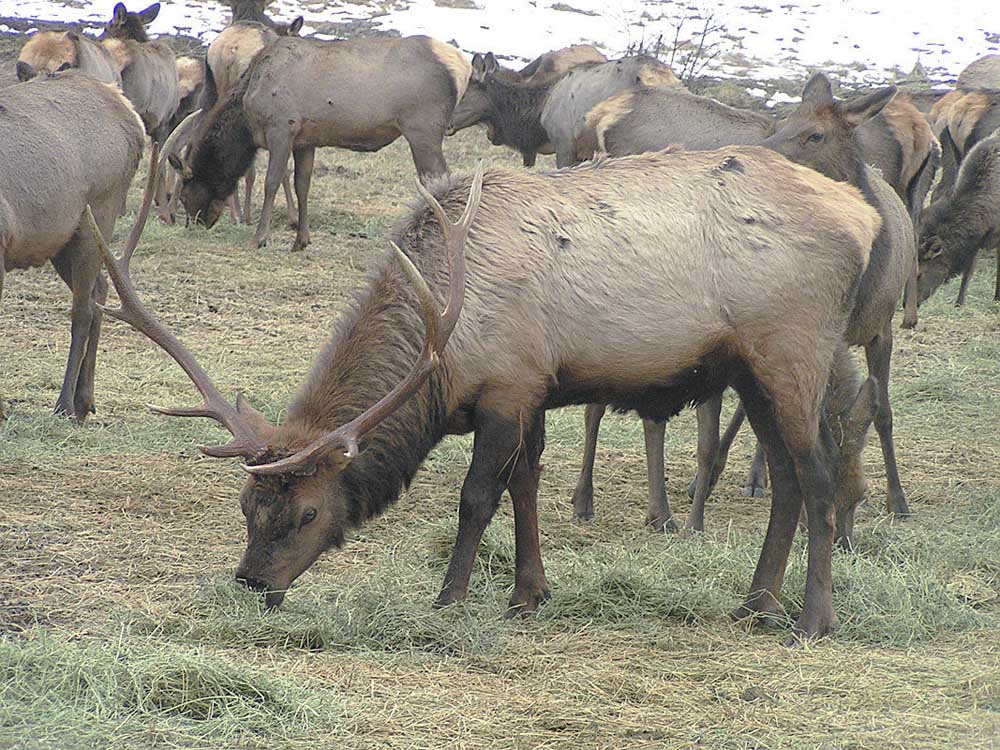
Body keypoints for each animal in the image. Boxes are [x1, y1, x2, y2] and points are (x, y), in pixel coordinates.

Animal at [0, 70, 145, 422]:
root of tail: (130, 110)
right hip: (61, 240)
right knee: (101, 288)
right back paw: (84, 399)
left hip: (98, 214)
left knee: (83, 310)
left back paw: (66, 404)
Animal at [92, 141, 881, 642]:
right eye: (246, 506)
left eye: (308, 511)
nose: (252, 582)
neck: (444, 358)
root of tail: (866, 215)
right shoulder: (533, 390)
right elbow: (525, 485)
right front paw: (529, 595)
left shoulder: (507, 384)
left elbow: (479, 497)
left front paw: (450, 597)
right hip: (749, 371)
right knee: (785, 479)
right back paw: (754, 605)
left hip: (793, 349)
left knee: (817, 476)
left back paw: (812, 620)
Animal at [168, 34, 470, 252]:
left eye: (183, 195)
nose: (193, 225)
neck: (246, 115)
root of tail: (462, 66)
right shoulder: (305, 141)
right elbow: (302, 185)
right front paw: (301, 241)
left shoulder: (282, 128)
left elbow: (271, 182)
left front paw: (259, 238)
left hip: (422, 129)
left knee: (439, 180)